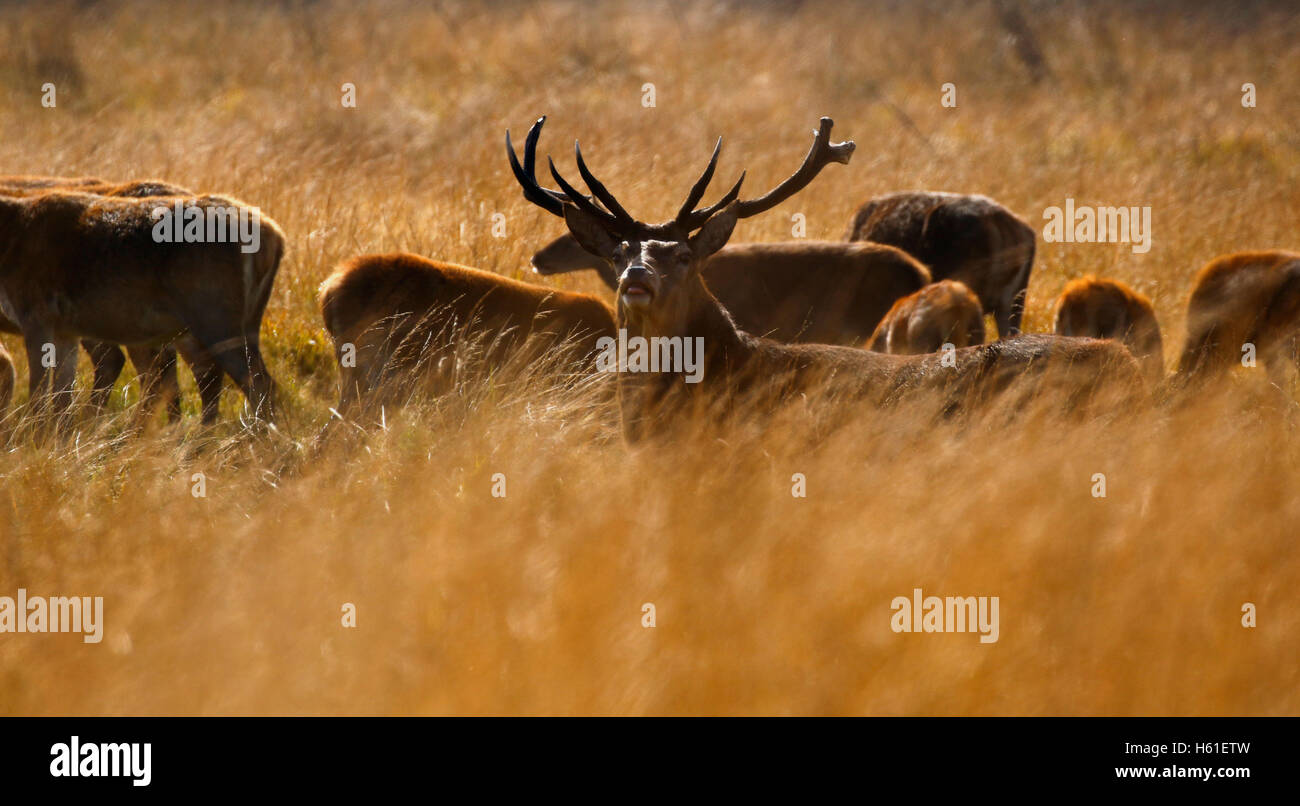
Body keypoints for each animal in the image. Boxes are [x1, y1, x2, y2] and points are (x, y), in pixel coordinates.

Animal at [0, 190, 284, 422]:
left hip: (215, 320)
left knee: (259, 386)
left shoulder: (35, 315)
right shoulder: (65, 330)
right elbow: (61, 400)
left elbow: (38, 397)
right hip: (240, 323)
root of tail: (276, 237)